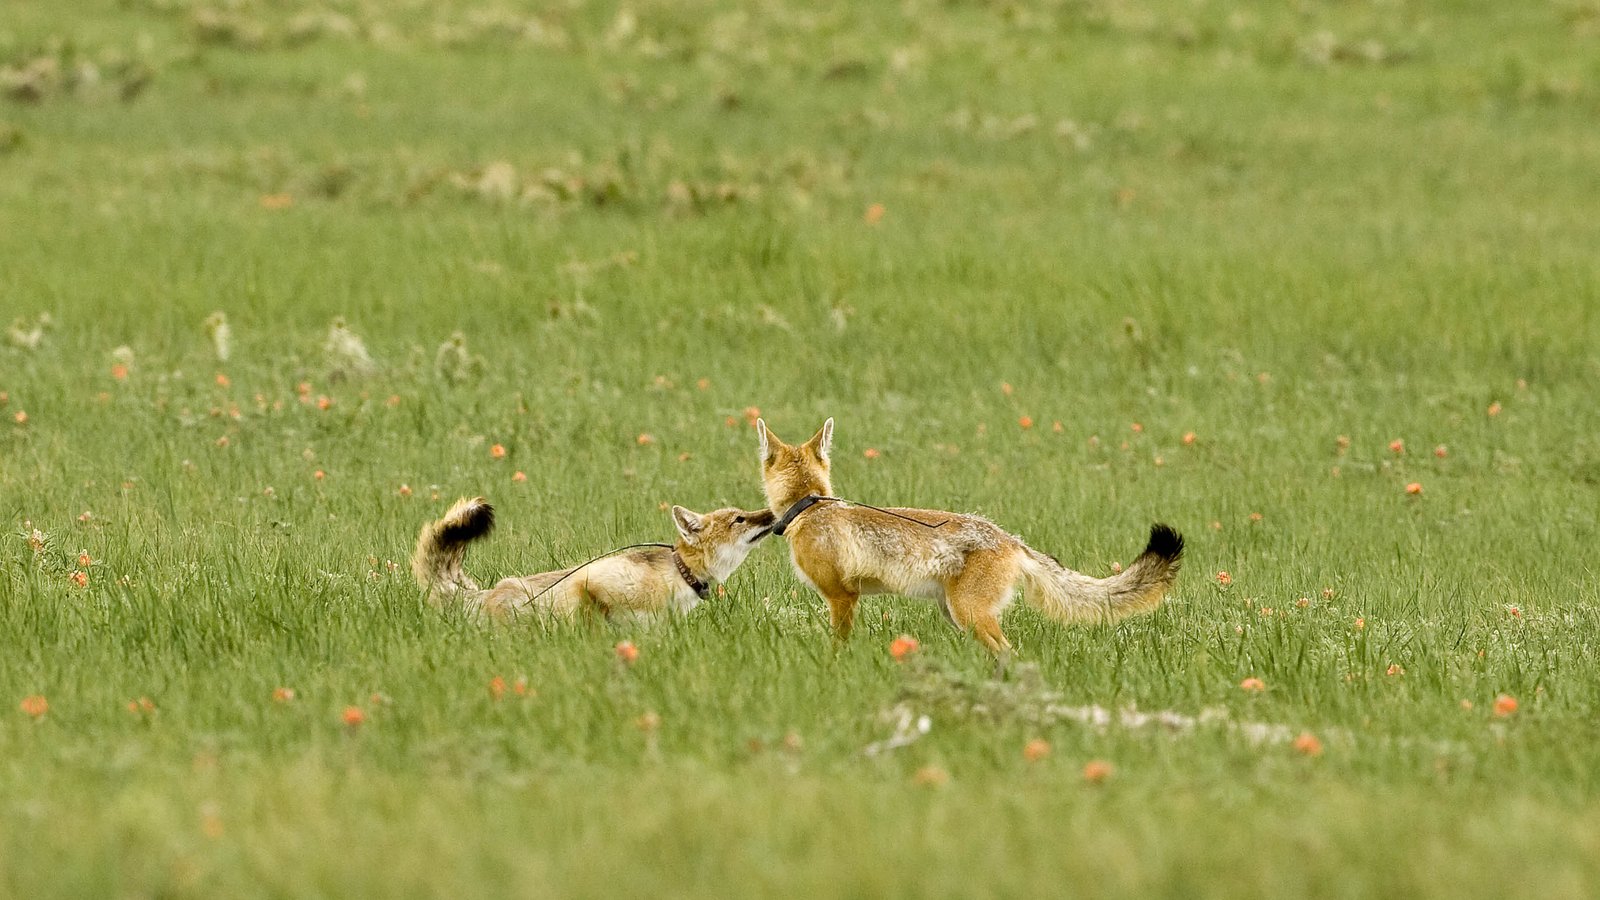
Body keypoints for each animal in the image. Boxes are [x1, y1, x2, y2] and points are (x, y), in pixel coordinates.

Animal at [755, 418, 1183, 655]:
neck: (811, 508)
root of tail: (1012, 539)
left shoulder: (842, 597)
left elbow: (837, 647)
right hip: (959, 616)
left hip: (970, 615)